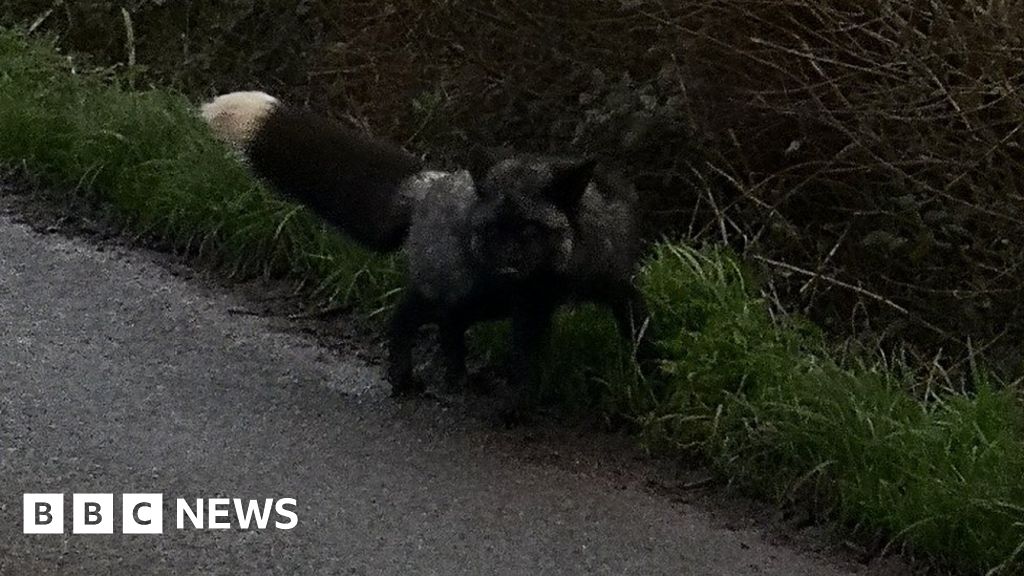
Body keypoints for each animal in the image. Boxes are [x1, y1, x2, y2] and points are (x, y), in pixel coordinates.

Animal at [201, 92, 649, 401]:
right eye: (493, 230)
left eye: (529, 229)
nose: (506, 267)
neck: (564, 271)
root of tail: (428, 185)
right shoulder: (527, 307)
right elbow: (523, 366)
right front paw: (515, 409)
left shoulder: (612, 287)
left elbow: (637, 333)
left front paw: (644, 379)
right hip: (470, 293)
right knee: (414, 315)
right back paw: (413, 376)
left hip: (484, 301)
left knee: (441, 324)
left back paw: (448, 376)